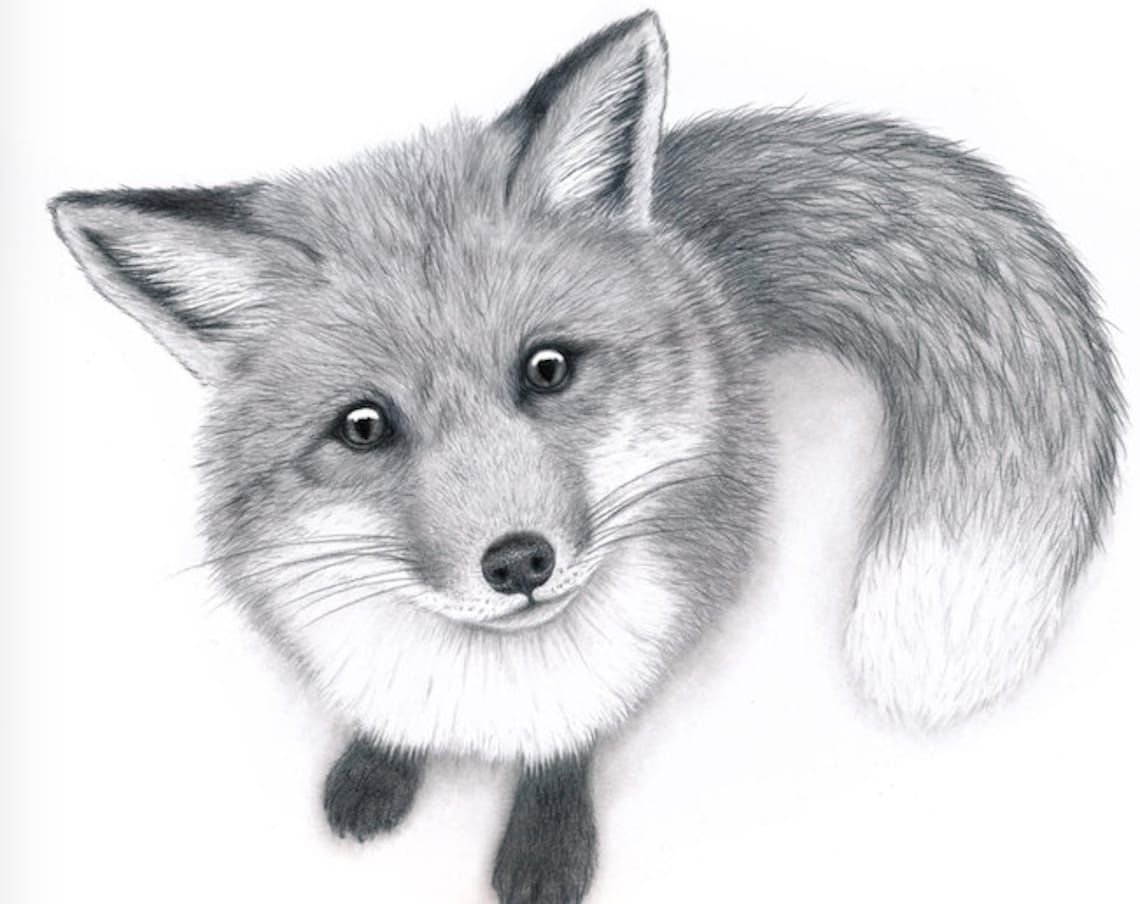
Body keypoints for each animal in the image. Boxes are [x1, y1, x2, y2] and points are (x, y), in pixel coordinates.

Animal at [50, 10, 1123, 904]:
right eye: (363, 427)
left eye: (548, 369)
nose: (520, 561)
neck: (485, 686)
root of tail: (684, 253)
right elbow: (383, 722)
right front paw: (373, 774)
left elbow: (570, 744)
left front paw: (546, 845)